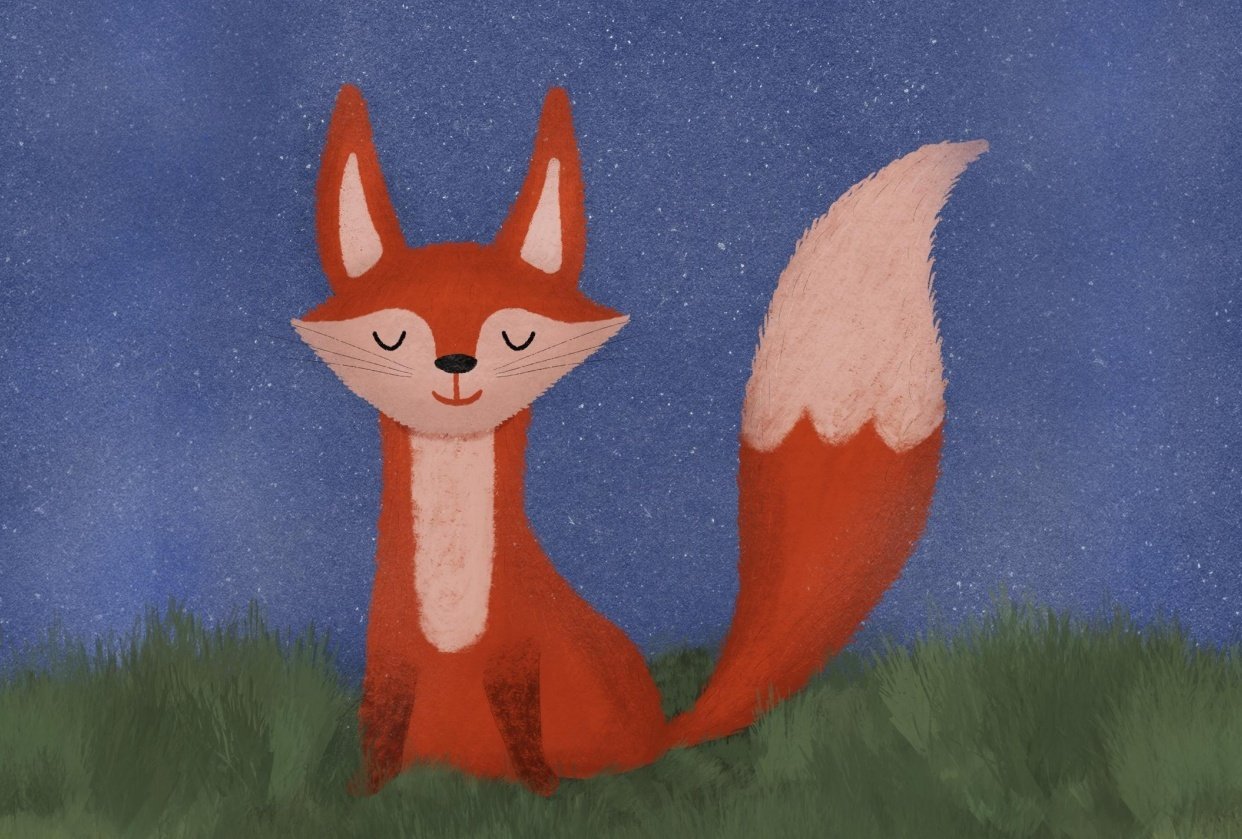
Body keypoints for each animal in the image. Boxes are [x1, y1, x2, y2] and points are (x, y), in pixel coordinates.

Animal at [292, 84, 987, 796]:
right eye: (391, 337)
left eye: (516, 336)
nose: (456, 363)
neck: (453, 604)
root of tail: (658, 733)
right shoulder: (390, 663)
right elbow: (380, 734)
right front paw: (364, 798)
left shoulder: (520, 659)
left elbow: (522, 734)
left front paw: (540, 799)